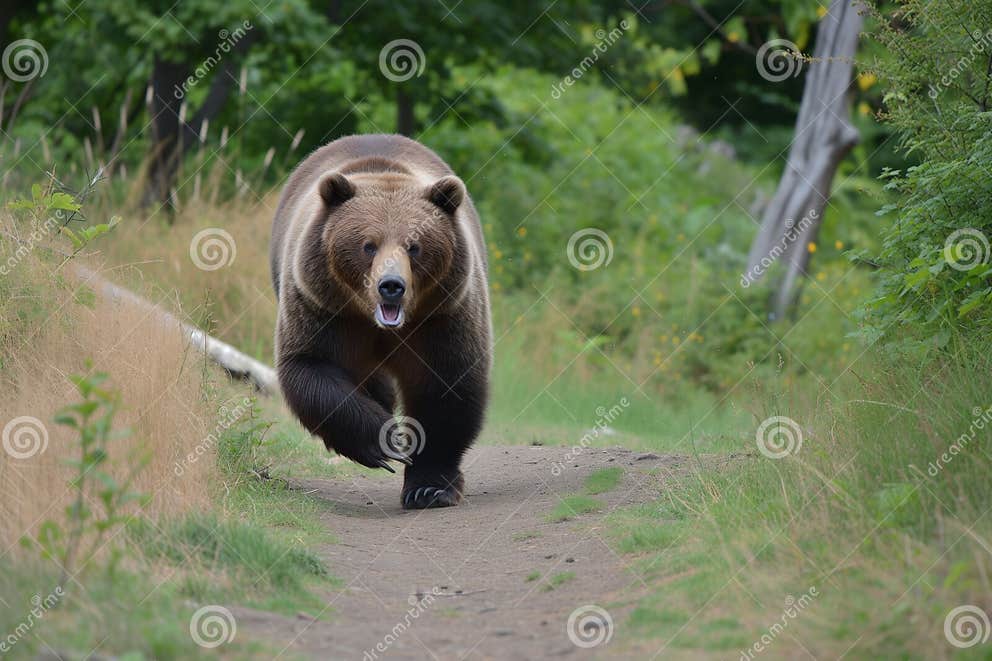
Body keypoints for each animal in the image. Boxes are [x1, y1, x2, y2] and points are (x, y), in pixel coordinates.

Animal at [269, 134, 492, 509]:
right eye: (368, 245)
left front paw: (429, 487)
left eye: (414, 246)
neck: (377, 324)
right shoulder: (321, 307)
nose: (391, 285)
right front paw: (386, 440)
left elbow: (446, 386)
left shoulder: (442, 316)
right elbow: (310, 367)